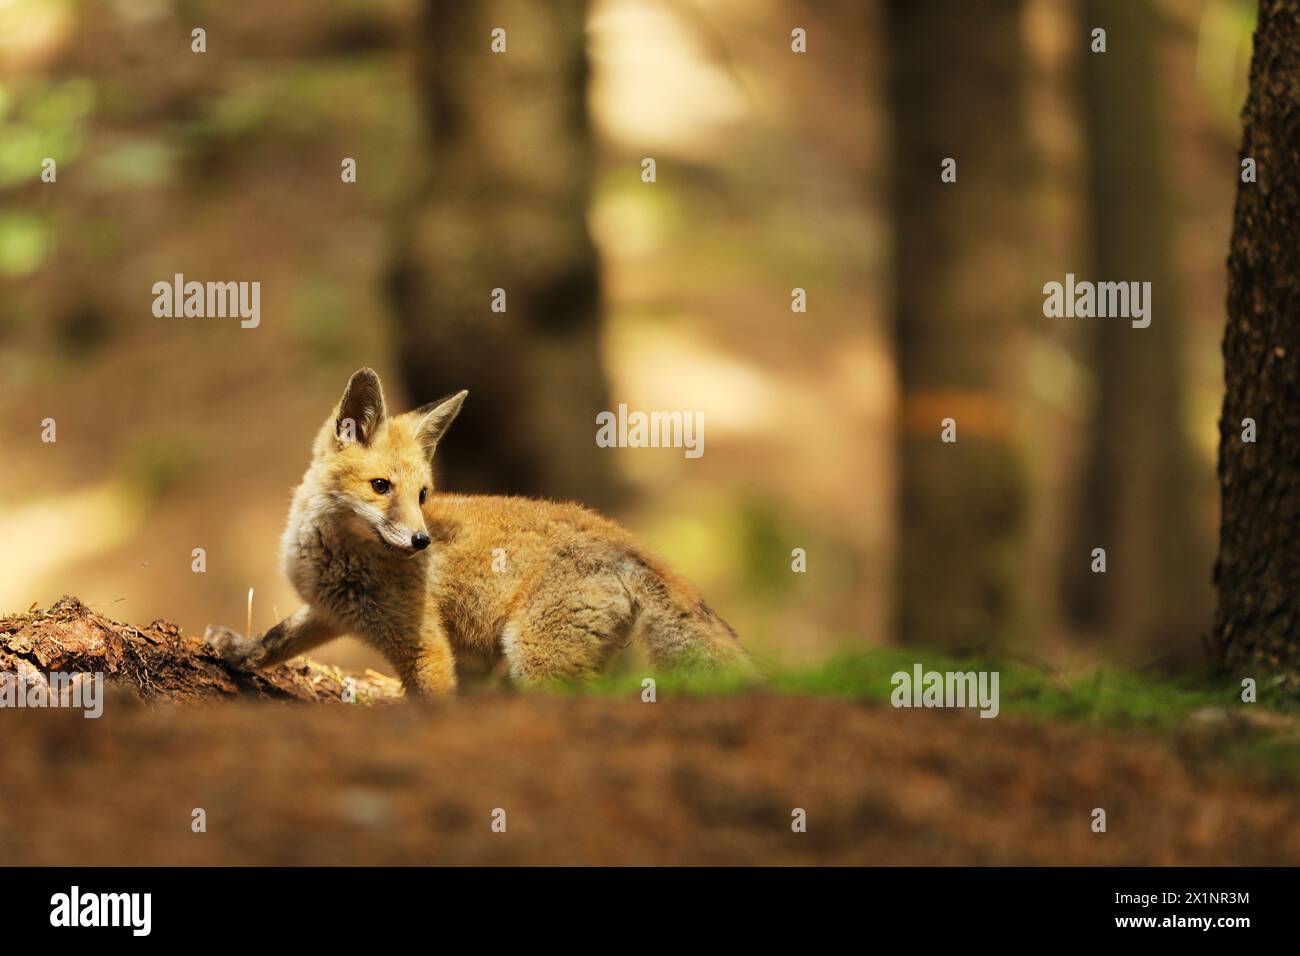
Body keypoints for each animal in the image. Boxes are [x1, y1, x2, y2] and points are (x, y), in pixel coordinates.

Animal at [205, 368, 755, 697]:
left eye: (423, 495)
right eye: (381, 487)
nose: (422, 542)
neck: (339, 559)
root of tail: (627, 540)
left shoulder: (424, 646)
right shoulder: (329, 612)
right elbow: (277, 638)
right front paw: (238, 652)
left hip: (533, 660)